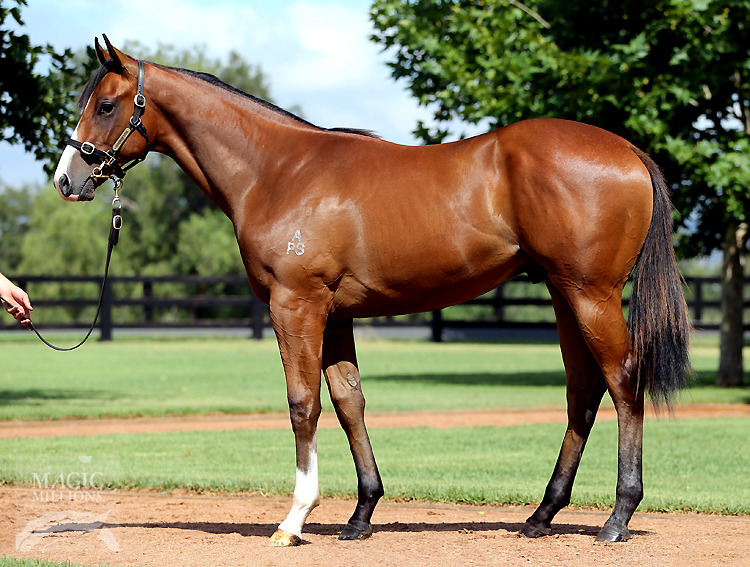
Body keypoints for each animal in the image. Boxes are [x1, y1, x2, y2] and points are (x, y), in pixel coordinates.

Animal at [53, 36, 691, 546]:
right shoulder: (335, 316)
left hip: (591, 294)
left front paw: (294, 520)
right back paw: (541, 515)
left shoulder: (296, 306)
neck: (279, 171)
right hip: (563, 296)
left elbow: (302, 404)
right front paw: (360, 513)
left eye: (105, 105)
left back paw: (617, 518)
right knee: (583, 392)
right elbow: (348, 402)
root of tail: (627, 150)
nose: (66, 178)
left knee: (623, 381)